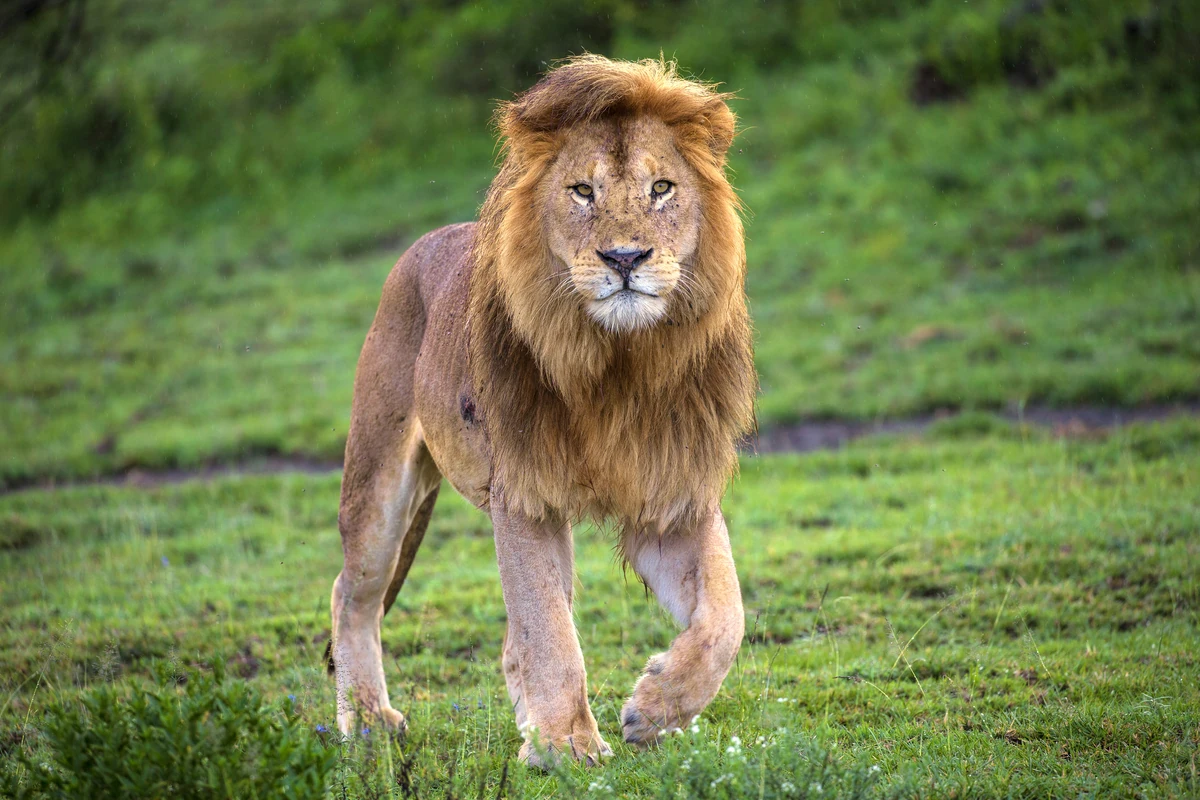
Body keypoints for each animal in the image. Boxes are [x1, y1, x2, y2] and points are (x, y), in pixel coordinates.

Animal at [327, 55, 756, 766]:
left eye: (662, 189)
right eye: (582, 192)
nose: (625, 259)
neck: (618, 363)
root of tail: (427, 241)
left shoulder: (672, 494)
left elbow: (726, 616)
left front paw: (654, 710)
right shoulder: (526, 495)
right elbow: (550, 630)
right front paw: (568, 746)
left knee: (508, 642)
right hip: (378, 477)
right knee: (353, 593)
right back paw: (367, 720)